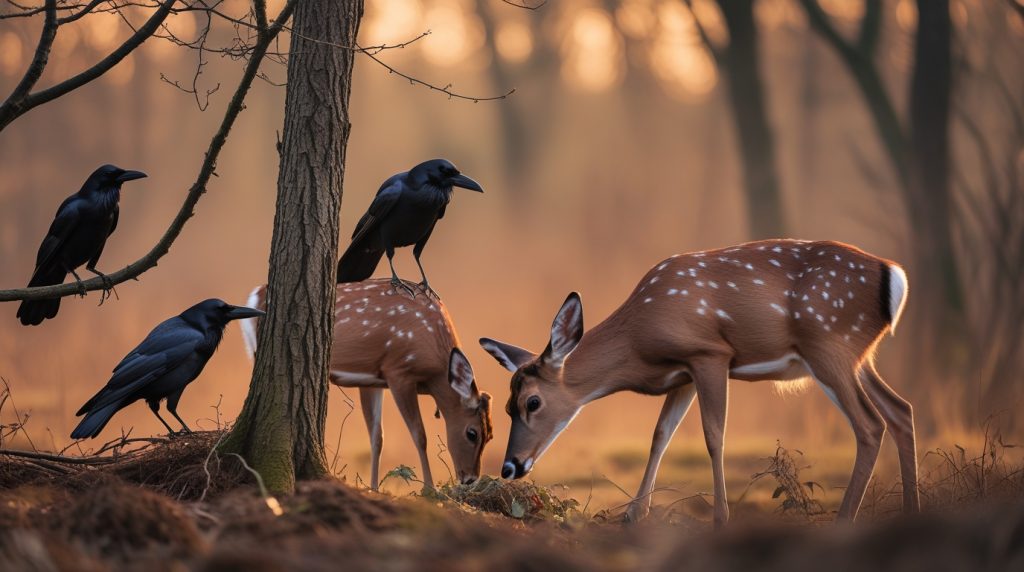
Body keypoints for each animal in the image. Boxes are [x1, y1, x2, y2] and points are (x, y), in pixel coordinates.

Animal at [241, 279, 493, 490]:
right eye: (472, 433)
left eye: (490, 435)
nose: (470, 478)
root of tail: (253, 295)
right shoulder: (398, 371)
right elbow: (419, 434)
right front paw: (430, 490)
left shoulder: (373, 380)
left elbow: (376, 437)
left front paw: (374, 488)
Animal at [479, 239, 918, 527]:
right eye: (506, 405)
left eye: (532, 402)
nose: (510, 466)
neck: (641, 340)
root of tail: (895, 277)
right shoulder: (683, 374)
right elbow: (661, 434)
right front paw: (634, 514)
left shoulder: (709, 353)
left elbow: (713, 435)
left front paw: (721, 518)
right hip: (858, 356)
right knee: (900, 410)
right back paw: (912, 512)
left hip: (828, 344)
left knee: (870, 424)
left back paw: (844, 520)